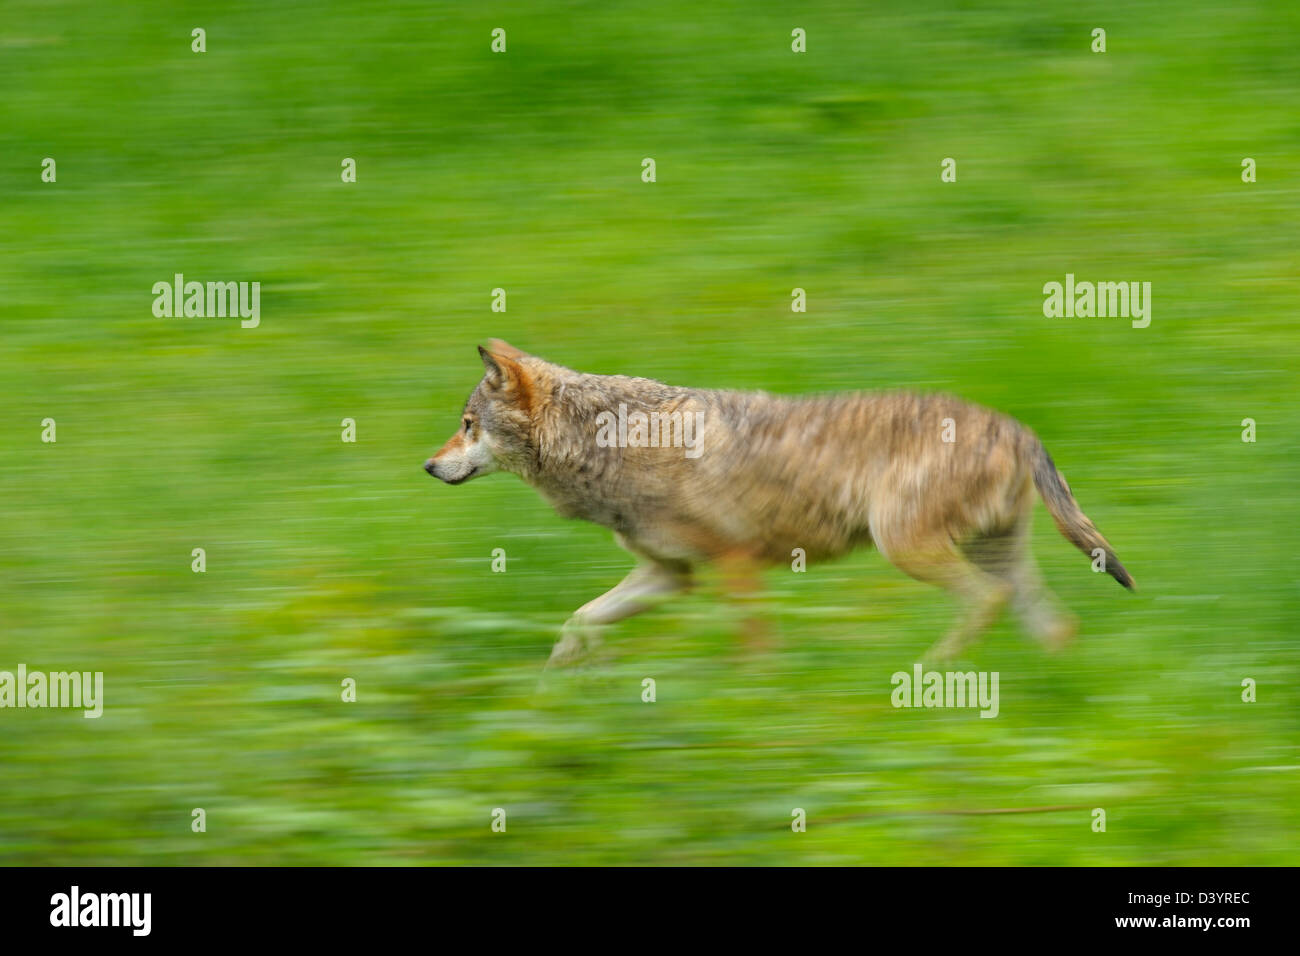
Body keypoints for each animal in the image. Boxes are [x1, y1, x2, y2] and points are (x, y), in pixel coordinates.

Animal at [425, 340, 1133, 666]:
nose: (428, 467)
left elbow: (755, 654)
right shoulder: (669, 577)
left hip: (905, 546)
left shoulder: (736, 564)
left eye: (466, 424)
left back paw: (927, 675)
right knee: (1054, 625)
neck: (610, 443)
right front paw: (551, 692)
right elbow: (576, 622)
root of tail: (1019, 427)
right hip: (991, 555)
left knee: (986, 604)